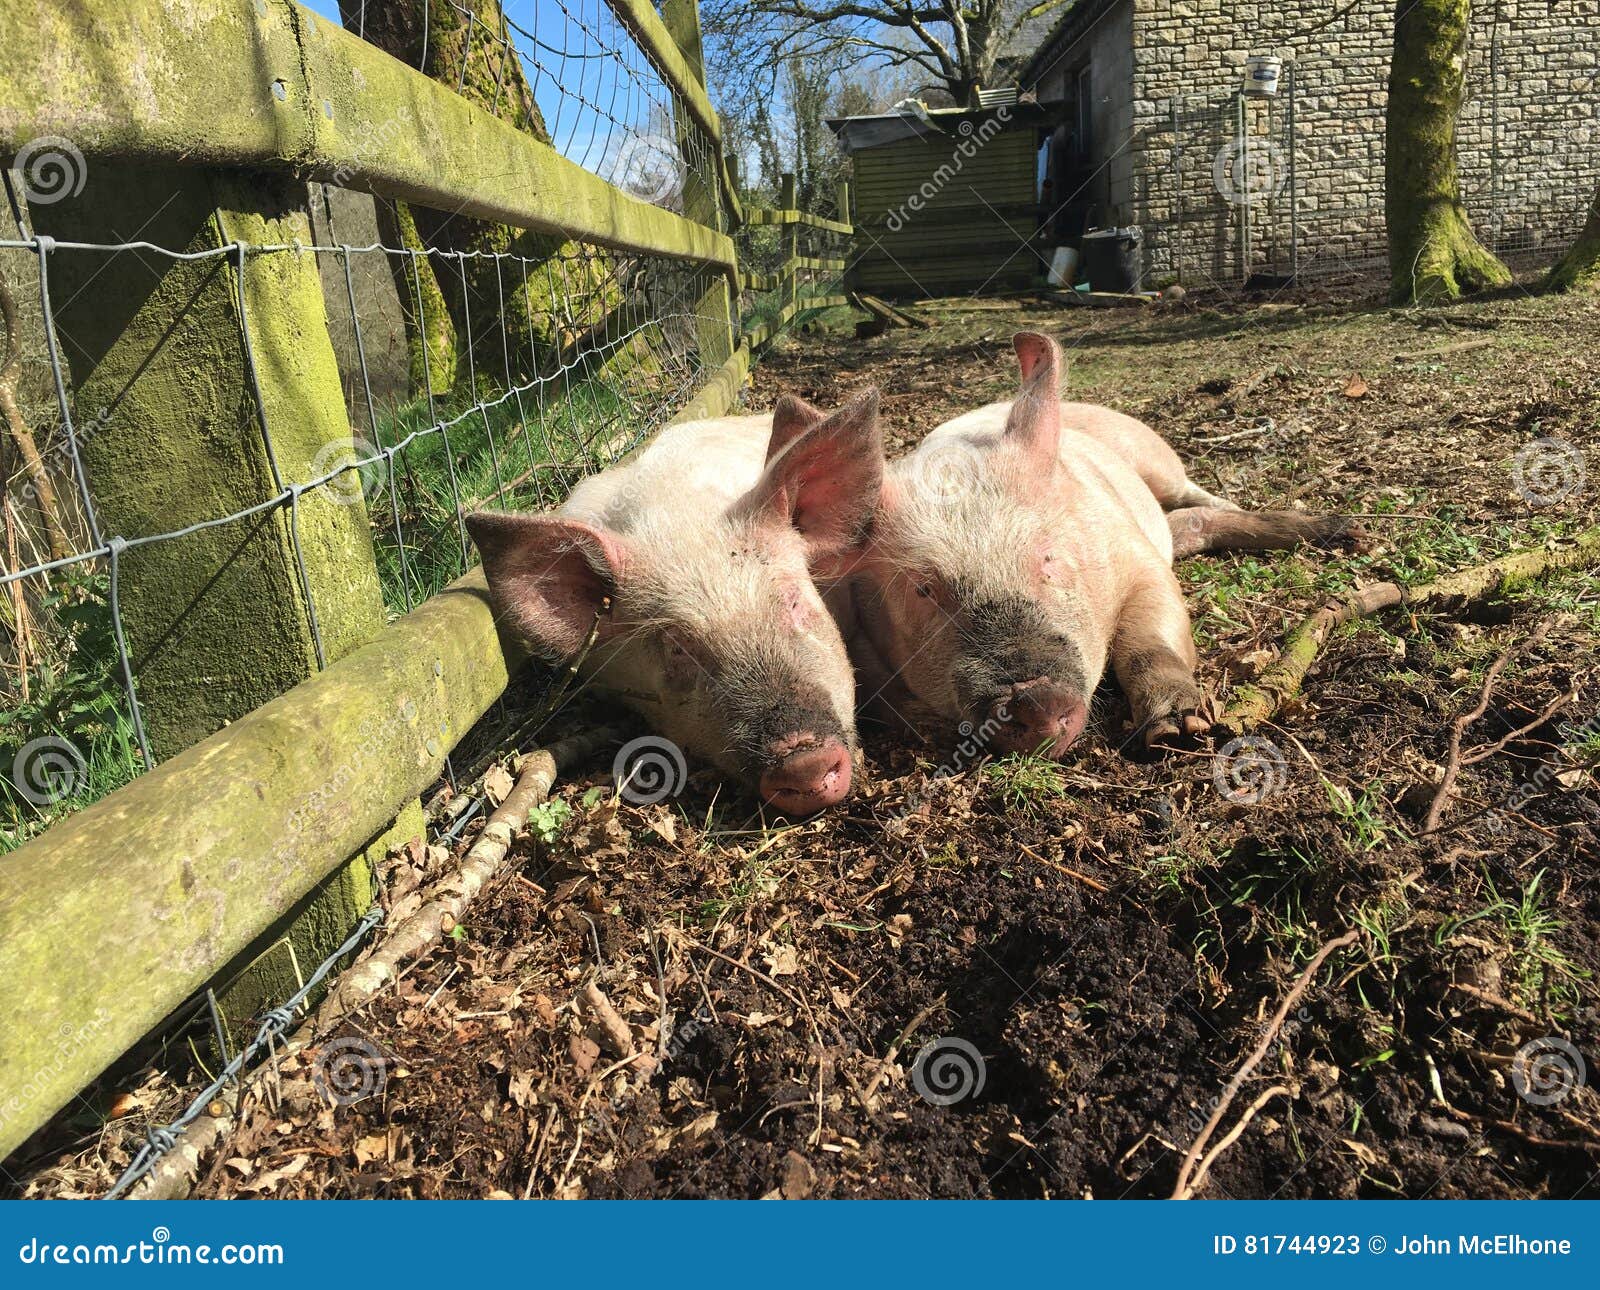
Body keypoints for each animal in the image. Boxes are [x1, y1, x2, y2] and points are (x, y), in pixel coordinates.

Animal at [842, 332, 1355, 755]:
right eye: (922, 590)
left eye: (1049, 558)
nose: (1034, 697)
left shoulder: (1139, 560)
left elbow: (1150, 641)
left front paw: (1180, 730)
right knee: (1192, 523)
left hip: (1155, 459)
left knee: (1199, 498)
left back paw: (1348, 532)